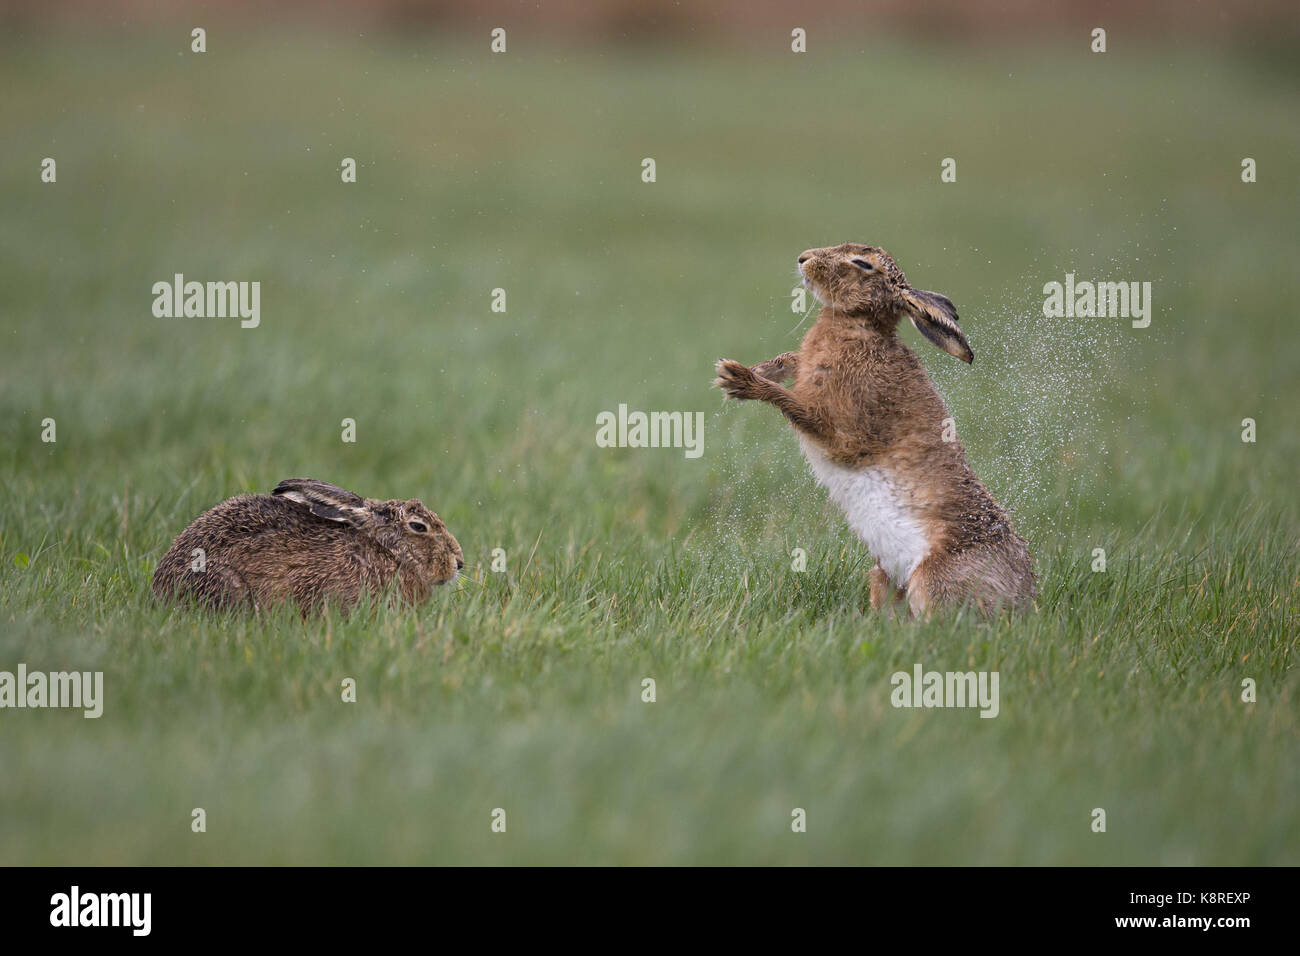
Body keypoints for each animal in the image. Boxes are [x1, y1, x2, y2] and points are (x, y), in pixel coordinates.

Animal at [714, 243, 1034, 617]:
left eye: (862, 264)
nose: (803, 258)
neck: (860, 326)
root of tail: (1026, 598)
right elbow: (793, 360)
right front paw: (751, 370)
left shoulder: (843, 434)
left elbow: (796, 406)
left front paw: (739, 379)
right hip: (882, 574)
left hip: (932, 579)